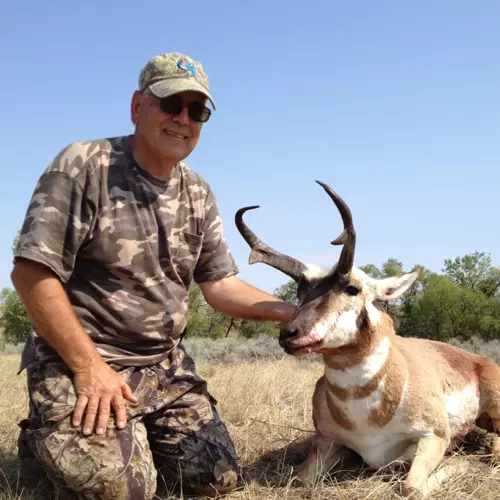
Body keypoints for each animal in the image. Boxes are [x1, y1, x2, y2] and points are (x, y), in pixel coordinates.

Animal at [234, 182, 500, 498]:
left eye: (352, 288)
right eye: (301, 291)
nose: (289, 334)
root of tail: (477, 359)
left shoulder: (434, 435)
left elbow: (411, 486)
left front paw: (459, 463)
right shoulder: (325, 441)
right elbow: (300, 479)